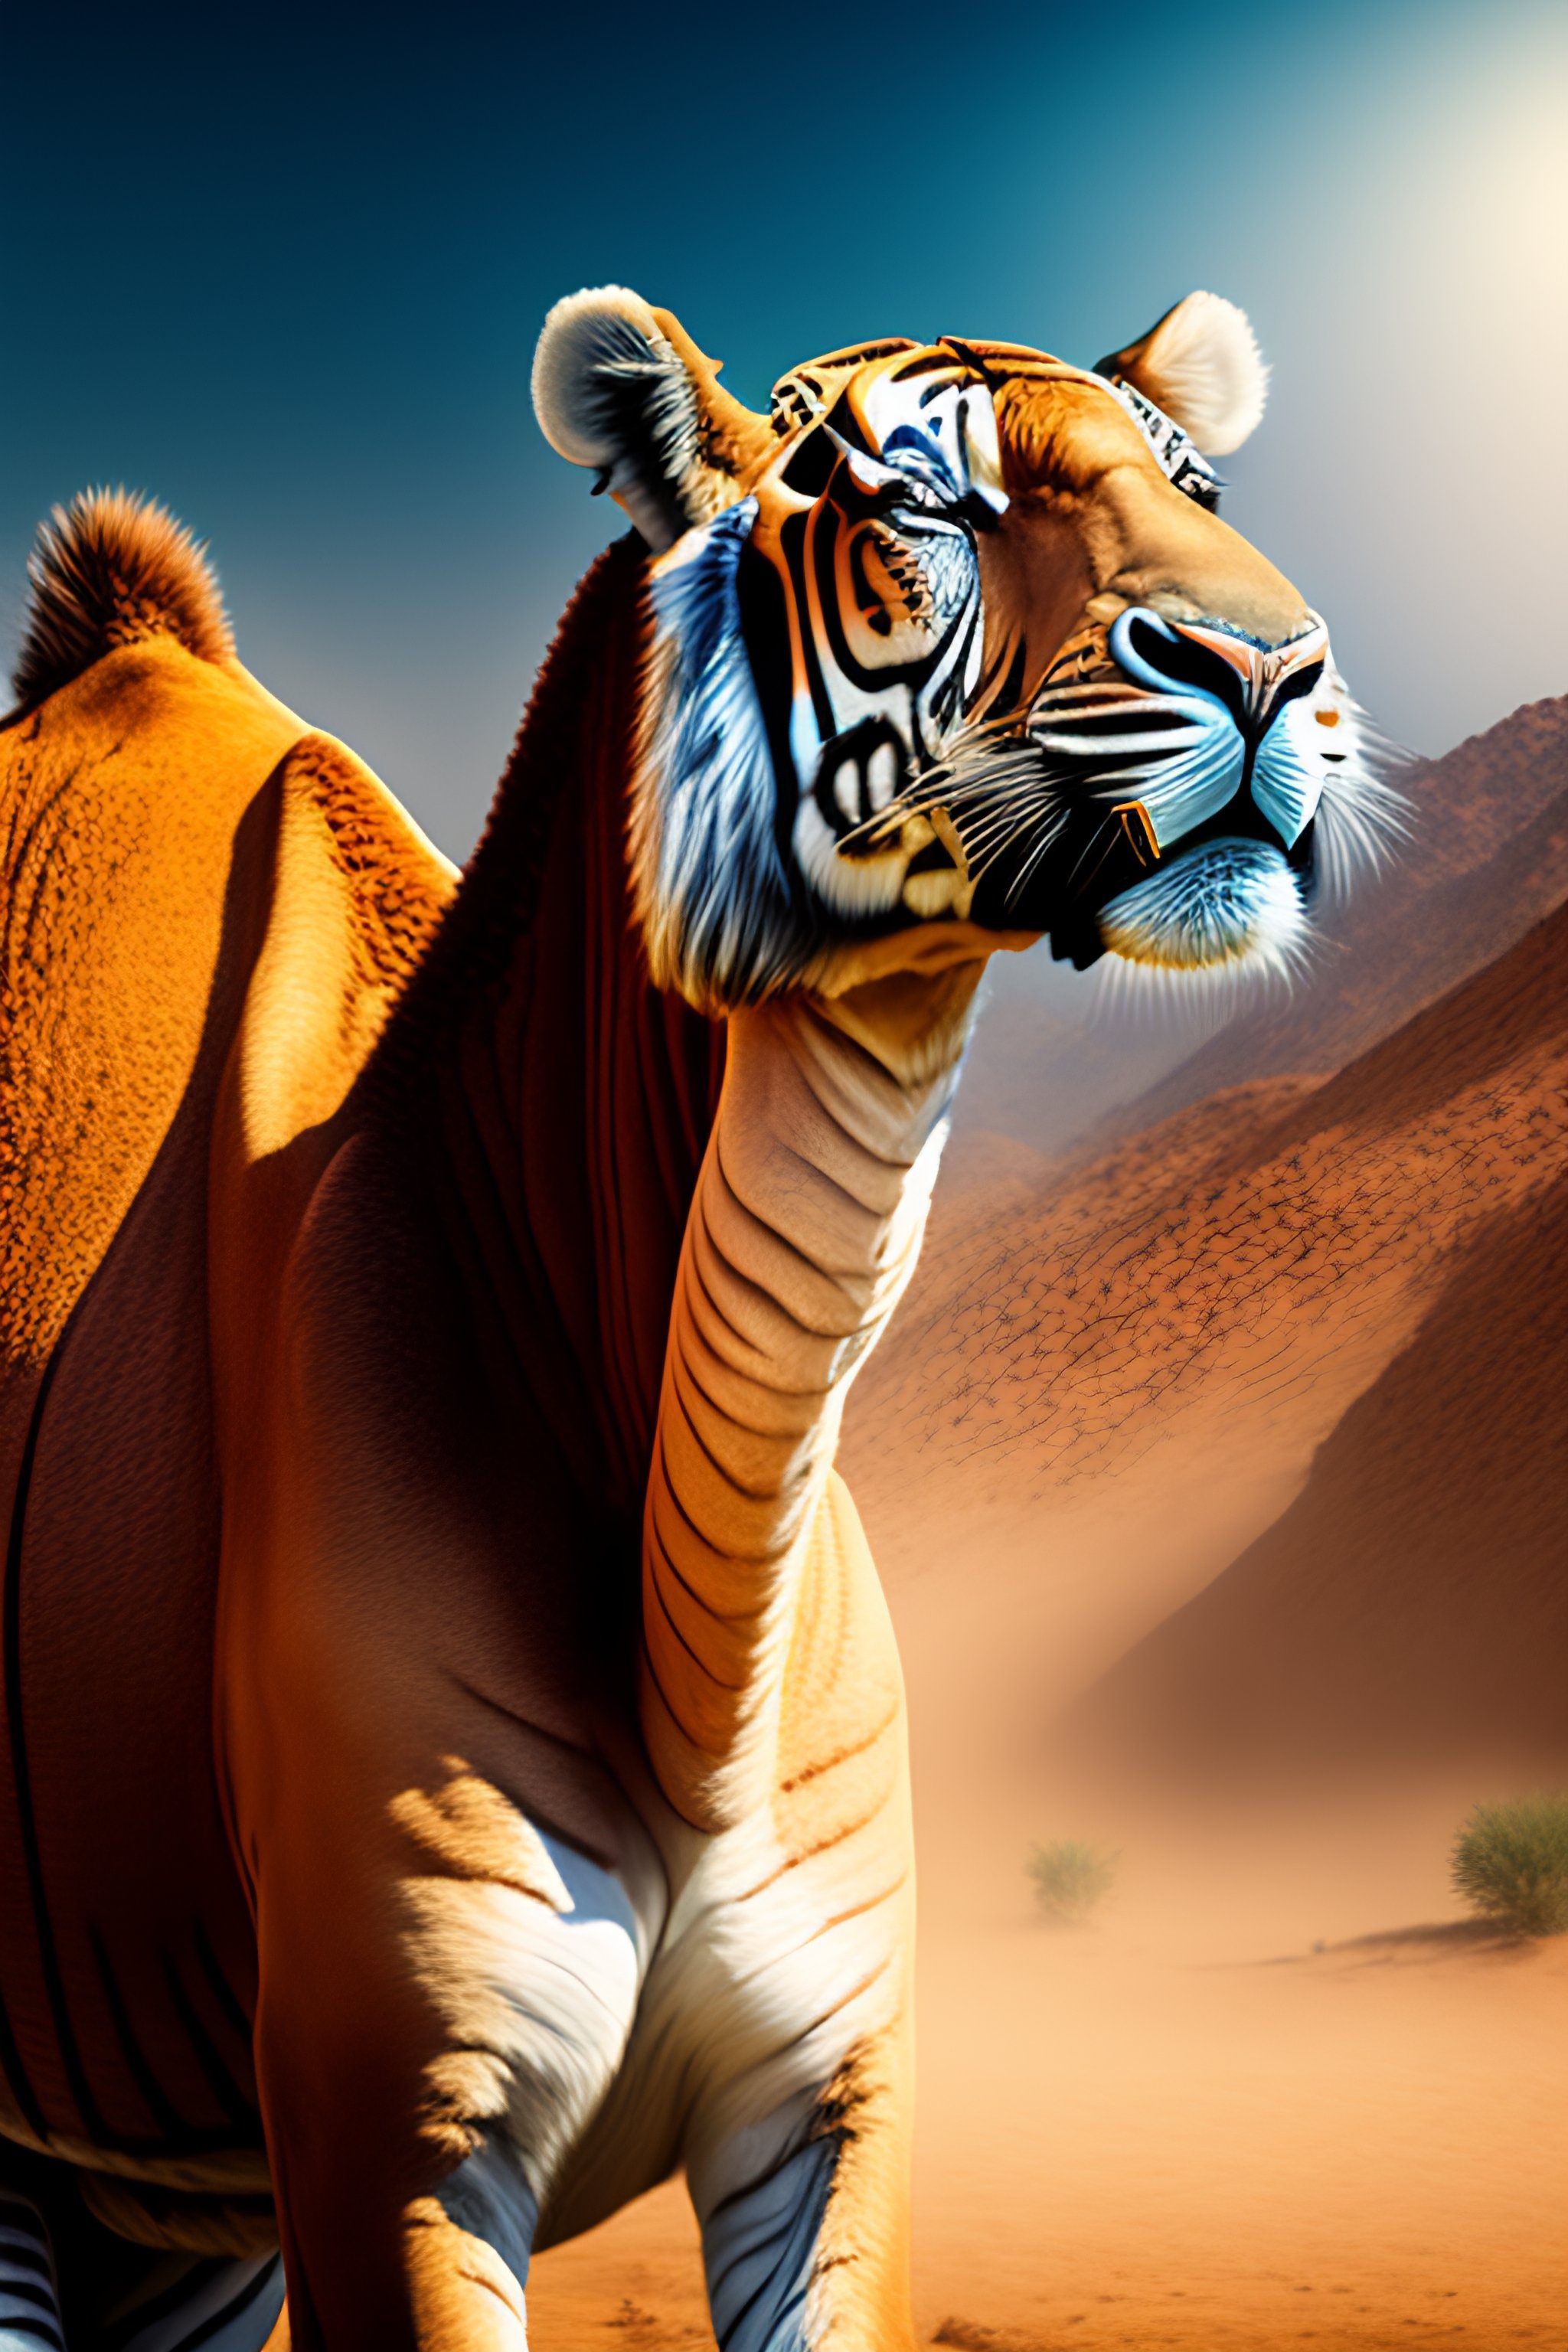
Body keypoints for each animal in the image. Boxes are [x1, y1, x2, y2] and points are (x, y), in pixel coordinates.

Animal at [0, 283, 1392, 2352]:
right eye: (911, 496)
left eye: (1198, 485)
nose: (1270, 664)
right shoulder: (392, 2117)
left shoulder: (830, 2099)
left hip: (169, 2203)